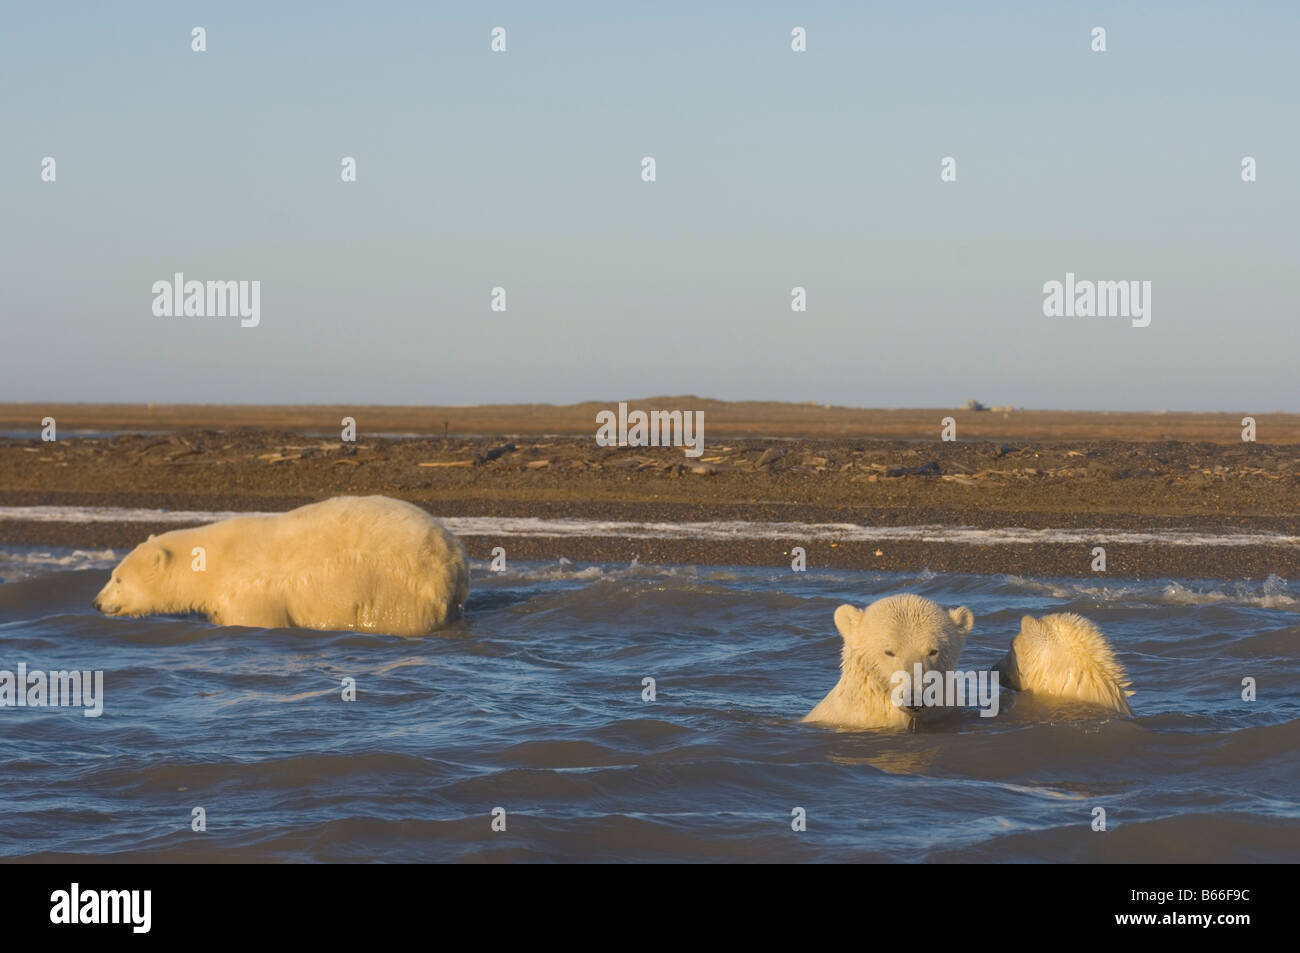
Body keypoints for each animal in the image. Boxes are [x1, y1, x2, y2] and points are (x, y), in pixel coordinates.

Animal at [93, 495, 469, 637]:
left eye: (118, 579)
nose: (96, 603)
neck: (210, 564)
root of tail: (454, 554)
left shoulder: (250, 591)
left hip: (399, 583)